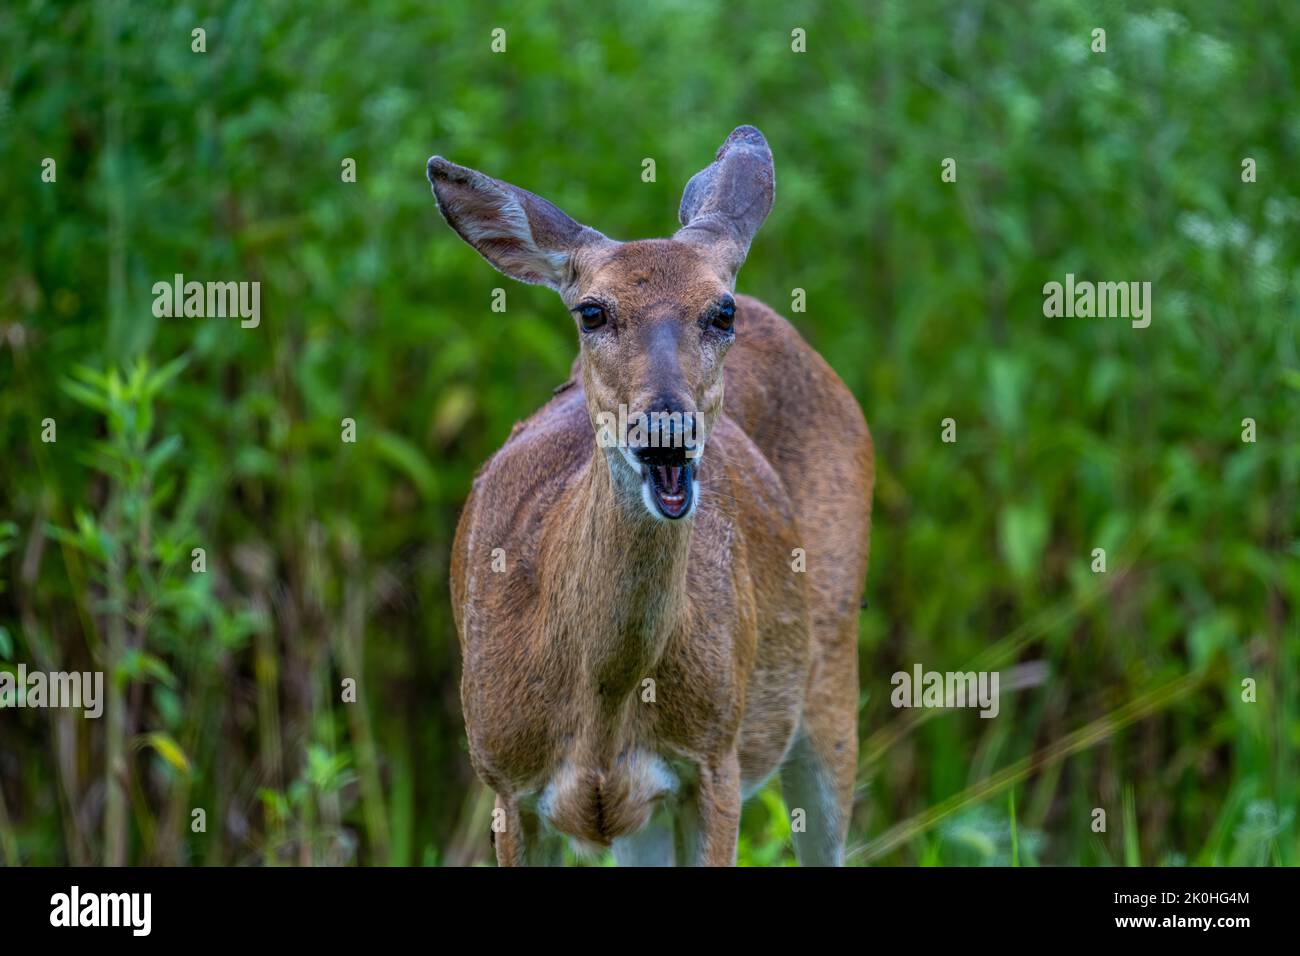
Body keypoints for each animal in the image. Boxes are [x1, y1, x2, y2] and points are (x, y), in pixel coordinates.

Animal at [427, 126, 874, 866]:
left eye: (719, 311)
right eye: (591, 311)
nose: (667, 429)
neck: (601, 704)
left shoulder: (715, 761)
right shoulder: (503, 780)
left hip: (832, 663)